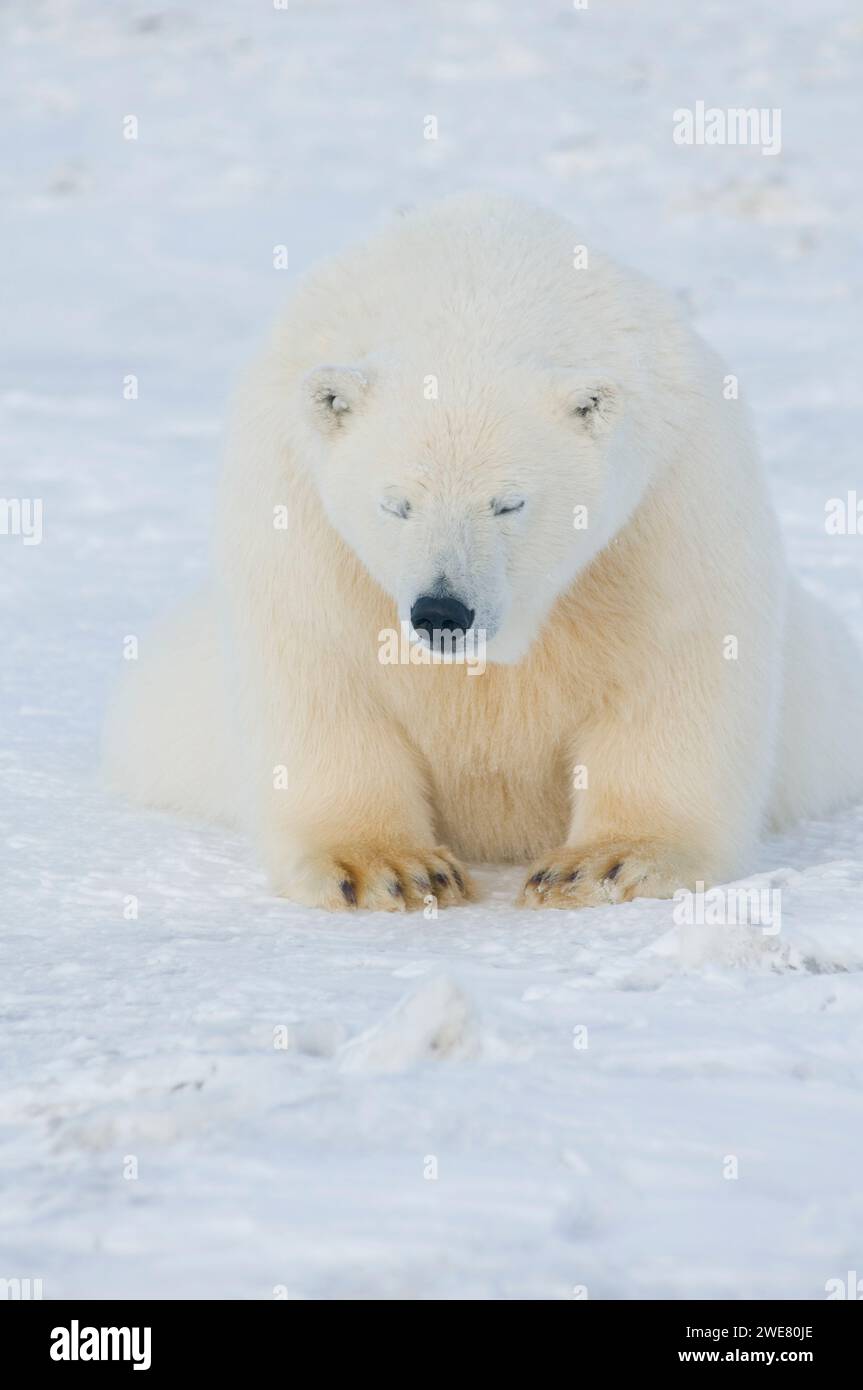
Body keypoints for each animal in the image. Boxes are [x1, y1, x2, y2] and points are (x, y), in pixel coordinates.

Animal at [102, 193, 863, 911]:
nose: (442, 611)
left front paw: (605, 863)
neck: (476, 290)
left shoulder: (669, 504)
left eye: (508, 502)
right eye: (396, 503)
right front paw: (388, 869)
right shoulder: (295, 506)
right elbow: (321, 675)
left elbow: (675, 667)